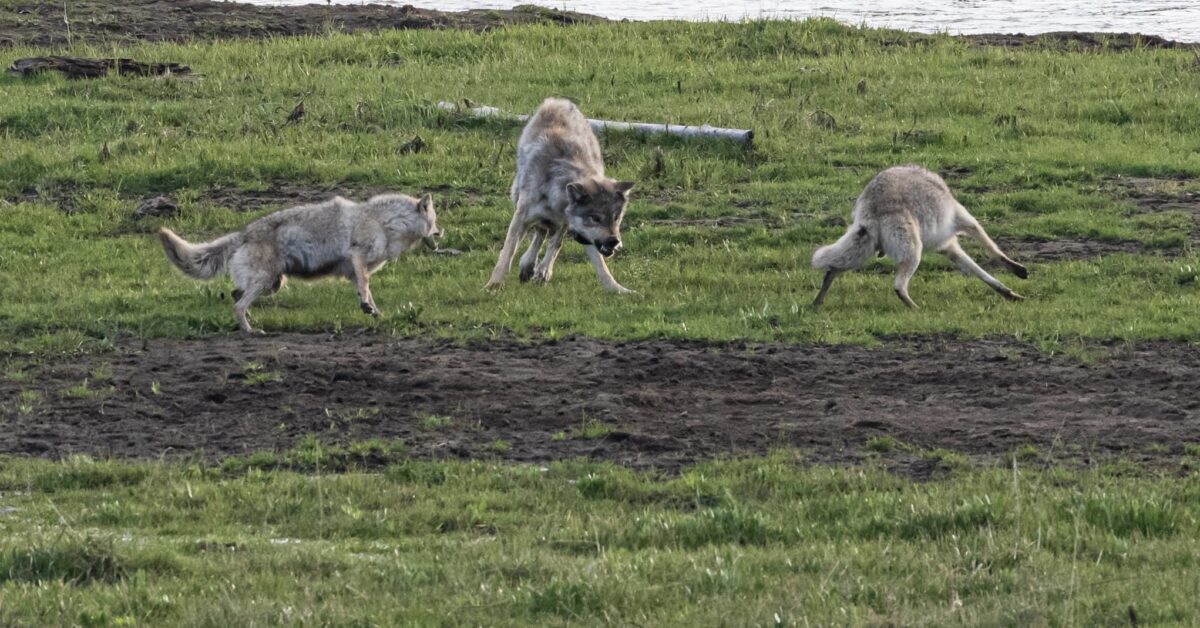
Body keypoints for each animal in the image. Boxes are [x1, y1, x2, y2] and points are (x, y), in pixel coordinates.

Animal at [159, 193, 442, 333]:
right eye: (435, 220)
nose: (442, 233)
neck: (386, 223)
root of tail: (244, 233)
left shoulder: (355, 270)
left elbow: (368, 293)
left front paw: (376, 313)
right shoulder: (358, 259)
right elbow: (365, 287)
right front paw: (368, 308)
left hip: (273, 284)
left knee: (234, 296)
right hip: (266, 283)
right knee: (238, 304)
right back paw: (250, 331)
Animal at [484, 97, 636, 293]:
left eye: (616, 218)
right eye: (595, 218)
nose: (614, 241)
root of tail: (558, 101)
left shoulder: (574, 228)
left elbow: (598, 264)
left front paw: (617, 289)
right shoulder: (521, 217)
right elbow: (507, 253)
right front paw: (493, 285)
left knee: (552, 239)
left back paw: (540, 270)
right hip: (517, 197)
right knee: (540, 232)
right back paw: (528, 265)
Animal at [811, 165, 1028, 308]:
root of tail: (871, 208)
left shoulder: (948, 247)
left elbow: (977, 270)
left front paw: (1006, 291)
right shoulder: (961, 218)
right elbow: (989, 244)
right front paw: (1013, 266)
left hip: (862, 244)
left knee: (836, 265)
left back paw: (820, 296)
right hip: (911, 246)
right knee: (899, 285)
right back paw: (914, 307)